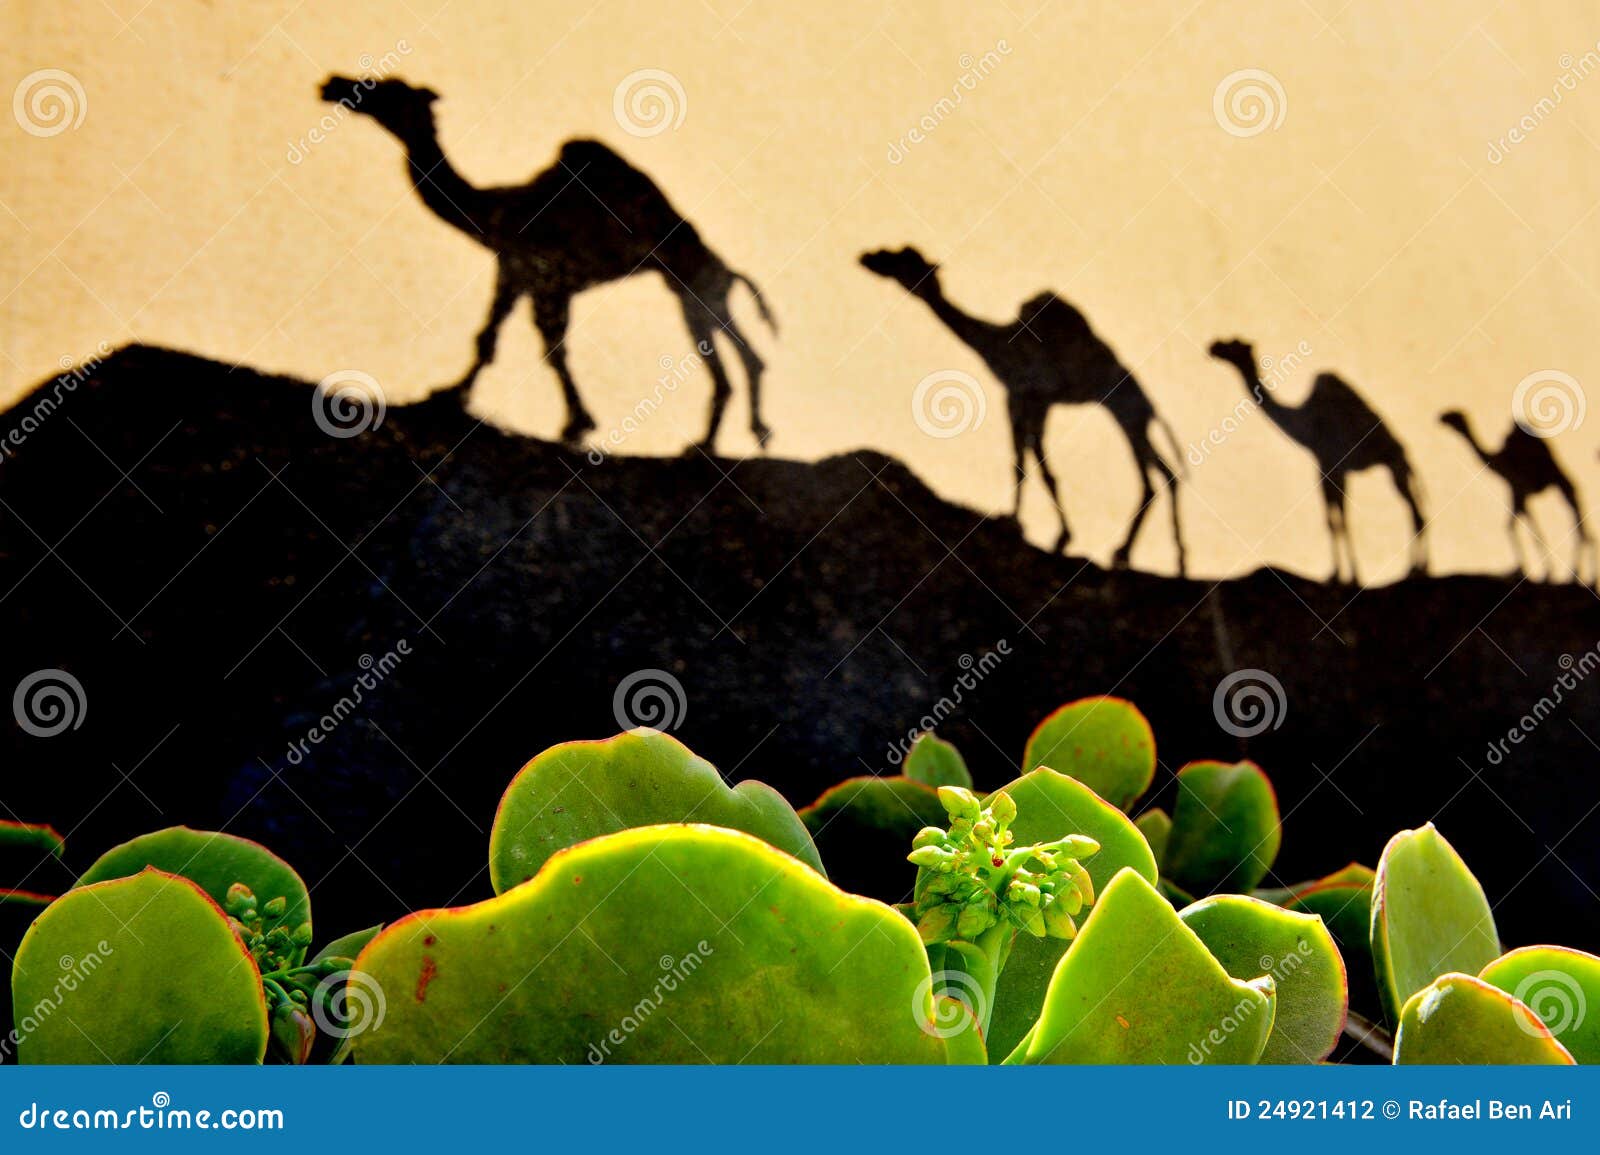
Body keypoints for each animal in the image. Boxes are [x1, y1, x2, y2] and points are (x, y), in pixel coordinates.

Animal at [320, 76, 776, 451]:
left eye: (386, 88)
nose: (332, 84)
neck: (497, 209)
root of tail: (726, 268)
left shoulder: (539, 274)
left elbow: (541, 347)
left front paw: (574, 423)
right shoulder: (520, 272)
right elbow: (497, 340)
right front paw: (454, 395)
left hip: (692, 289)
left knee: (730, 358)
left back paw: (717, 442)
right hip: (696, 292)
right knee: (742, 356)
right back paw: (741, 436)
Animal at [859, 247, 1186, 574]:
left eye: (902, 259)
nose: (868, 258)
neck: (999, 344)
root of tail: (1152, 406)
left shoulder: (1032, 397)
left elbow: (1031, 464)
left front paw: (1041, 529)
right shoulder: (1021, 398)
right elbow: (1027, 462)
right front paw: (1042, 529)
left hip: (1127, 417)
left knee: (1152, 477)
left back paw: (1134, 553)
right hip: (1132, 421)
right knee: (1164, 474)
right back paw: (1166, 558)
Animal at [1208, 339, 1427, 584]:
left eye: (1232, 345)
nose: (1213, 347)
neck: (1306, 423)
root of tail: (1406, 453)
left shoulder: (1333, 465)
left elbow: (1340, 520)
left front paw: (1350, 576)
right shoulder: (1325, 468)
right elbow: (1332, 520)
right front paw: (1336, 574)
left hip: (1395, 465)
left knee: (1415, 512)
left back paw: (1415, 569)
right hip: (1394, 467)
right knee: (1415, 511)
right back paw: (1416, 568)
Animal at [1439, 411, 1594, 582]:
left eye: (1453, 415)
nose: (1440, 418)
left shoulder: (1519, 488)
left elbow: (1517, 525)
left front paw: (1530, 571)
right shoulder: (1515, 490)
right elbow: (1520, 524)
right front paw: (1529, 570)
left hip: (1559, 479)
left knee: (1574, 507)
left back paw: (1577, 572)